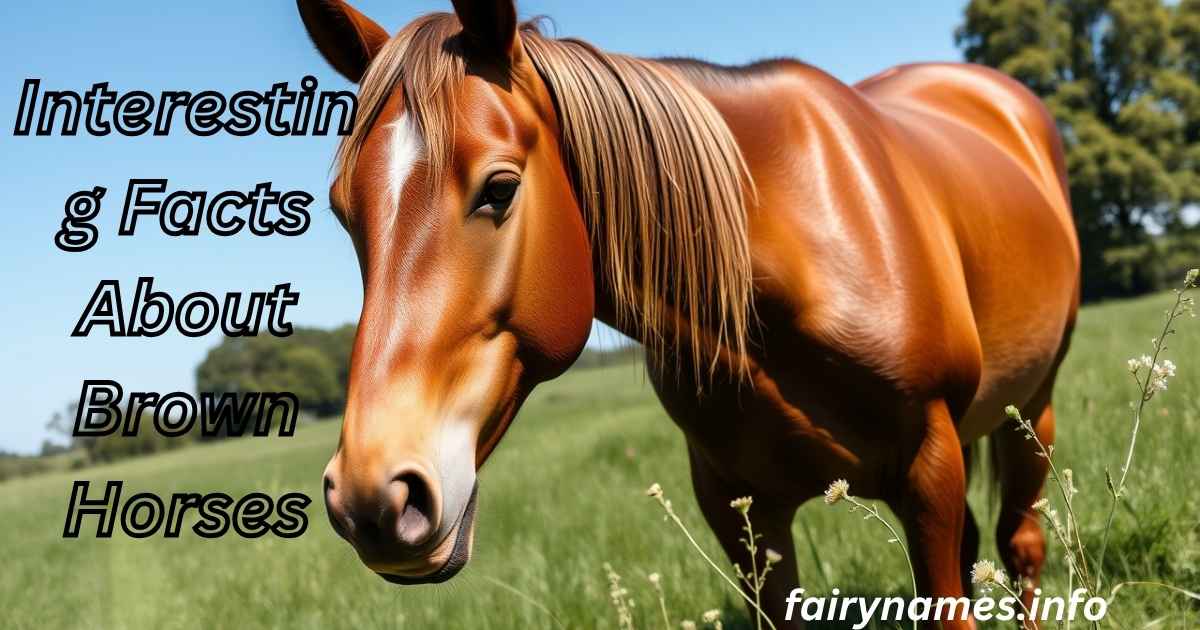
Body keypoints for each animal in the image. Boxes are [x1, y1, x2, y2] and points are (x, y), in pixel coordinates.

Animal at [298, 1, 1079, 627]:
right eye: (343, 211)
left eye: (499, 189)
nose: (373, 497)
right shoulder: (741, 511)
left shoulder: (929, 469)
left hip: (1031, 408)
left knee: (1018, 546)